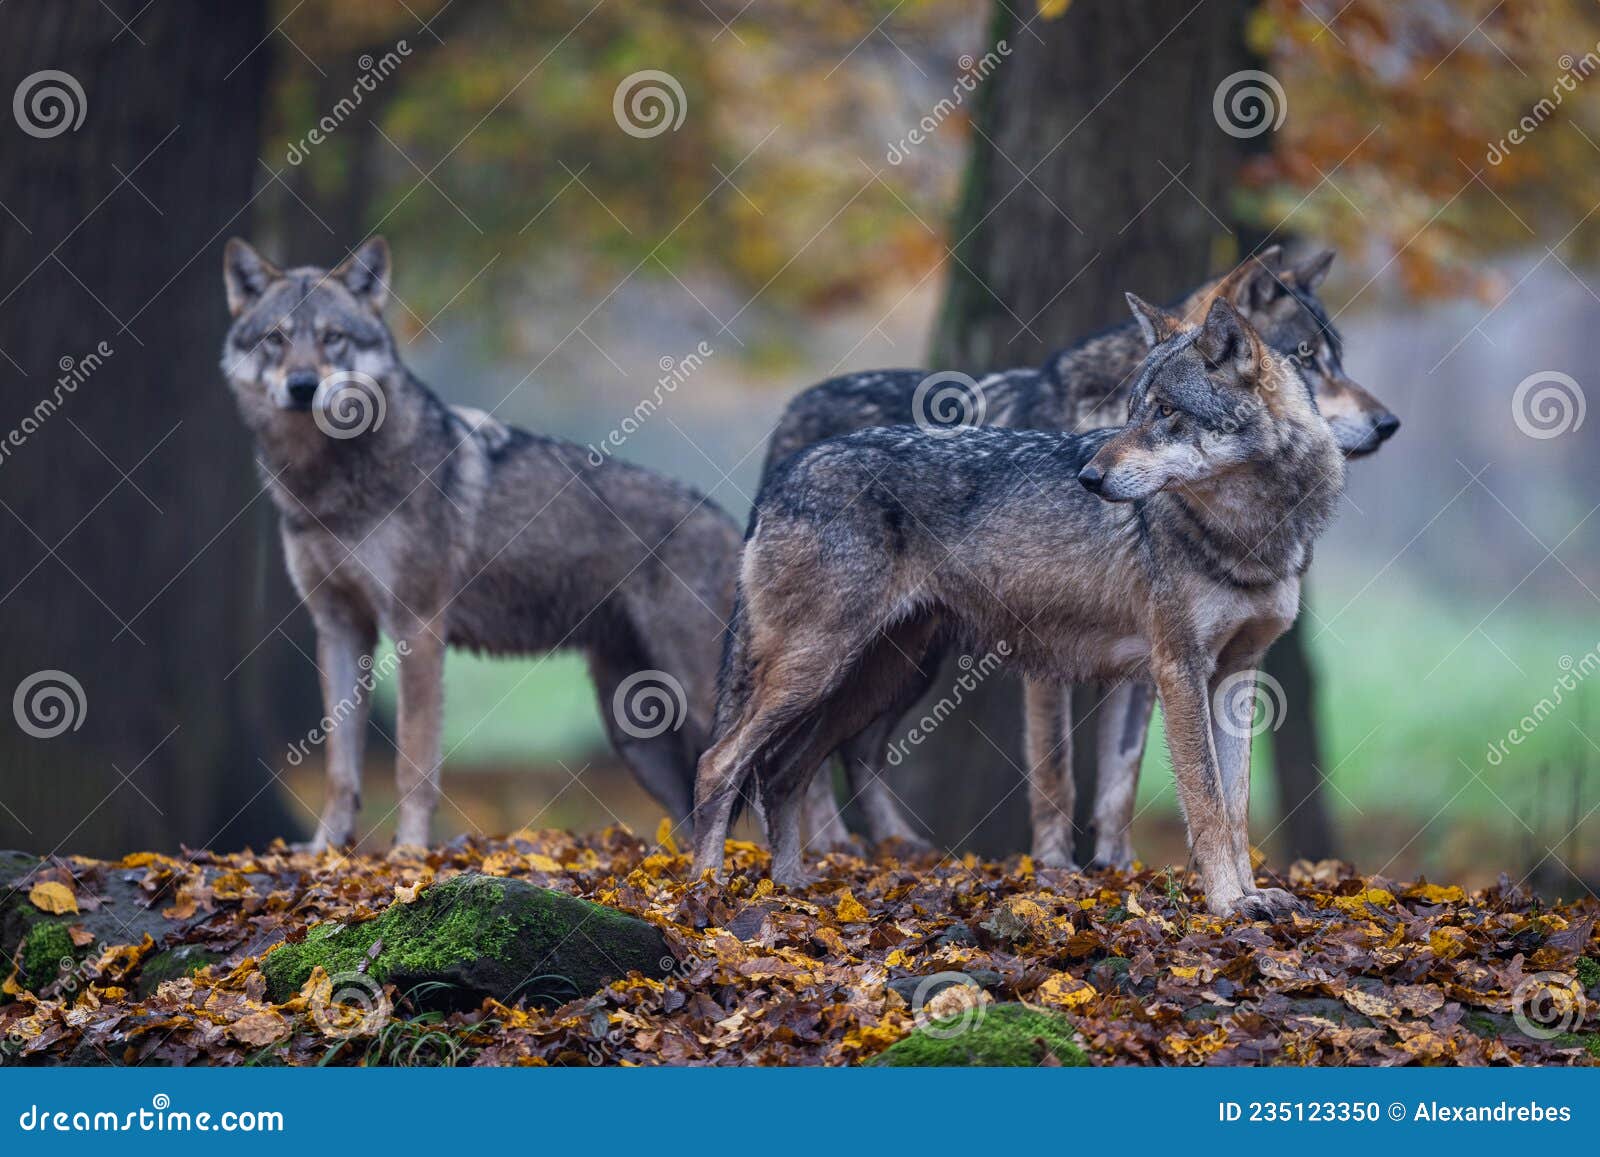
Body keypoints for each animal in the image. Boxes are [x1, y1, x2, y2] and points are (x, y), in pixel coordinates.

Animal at [221, 237, 740, 850]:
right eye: (276, 338)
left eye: (333, 337)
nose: (303, 386)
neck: (326, 486)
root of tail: (731, 520)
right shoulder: (338, 627)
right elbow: (339, 767)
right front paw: (326, 849)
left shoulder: (418, 628)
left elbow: (414, 762)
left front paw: (409, 852)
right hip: (637, 733)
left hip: (696, 699)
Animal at [693, 294, 1346, 920]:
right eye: (1133, 410)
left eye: (1164, 412)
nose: (1088, 477)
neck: (1251, 533)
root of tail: (784, 471)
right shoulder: (1178, 669)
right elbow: (1206, 804)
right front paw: (1227, 905)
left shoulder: (1237, 674)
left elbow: (1234, 808)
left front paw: (1252, 897)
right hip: (819, 673)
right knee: (718, 763)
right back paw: (706, 891)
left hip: (871, 681)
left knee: (782, 774)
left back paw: (792, 888)